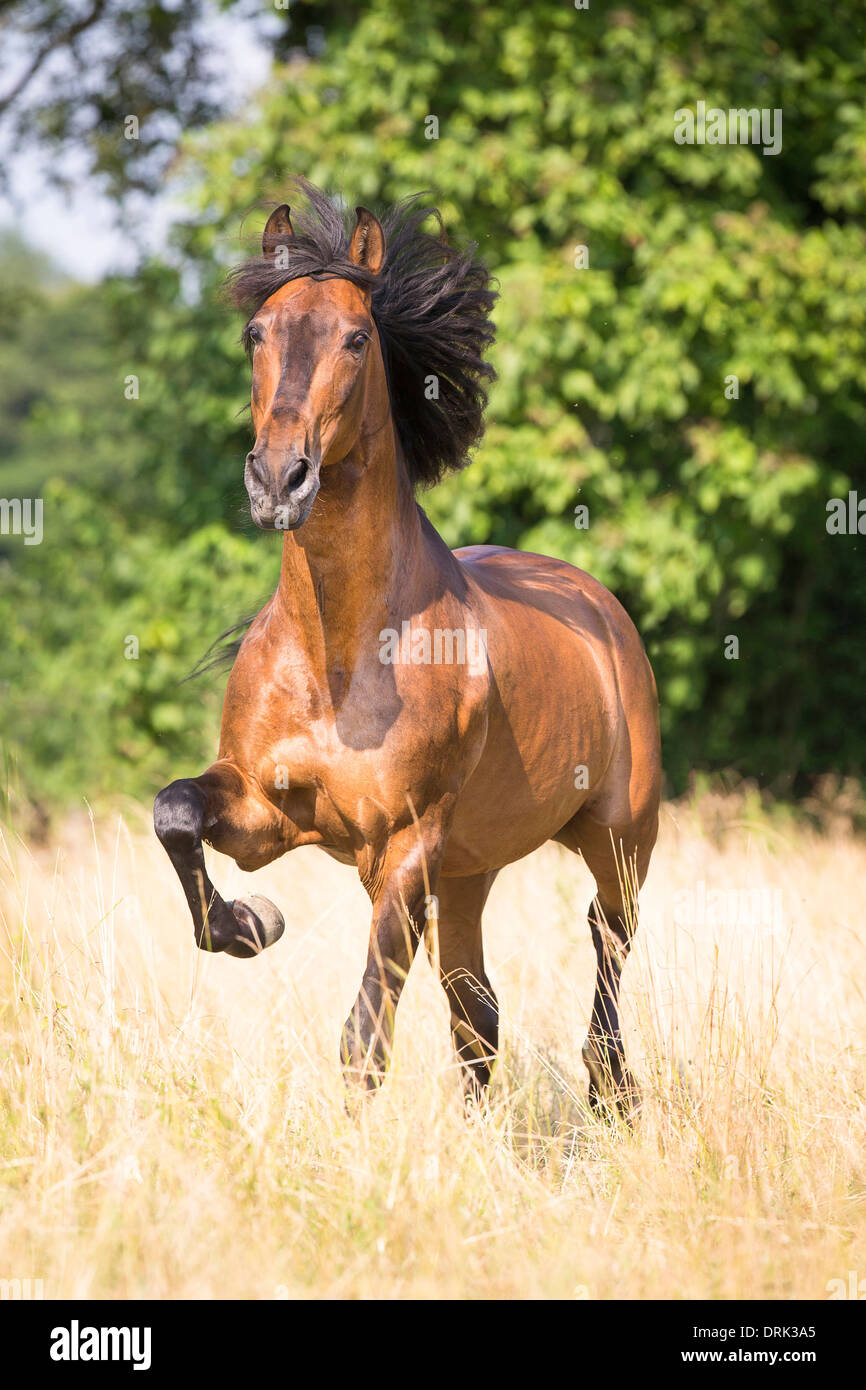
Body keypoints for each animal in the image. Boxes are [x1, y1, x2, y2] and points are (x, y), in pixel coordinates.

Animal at [153, 180, 662, 1113]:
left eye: (357, 337)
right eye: (257, 333)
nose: (278, 480)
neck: (339, 653)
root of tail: (599, 606)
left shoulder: (405, 846)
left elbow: (364, 1039)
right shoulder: (265, 813)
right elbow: (176, 811)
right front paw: (252, 923)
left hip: (618, 841)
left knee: (604, 953)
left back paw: (611, 1089)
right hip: (469, 876)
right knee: (478, 1015)